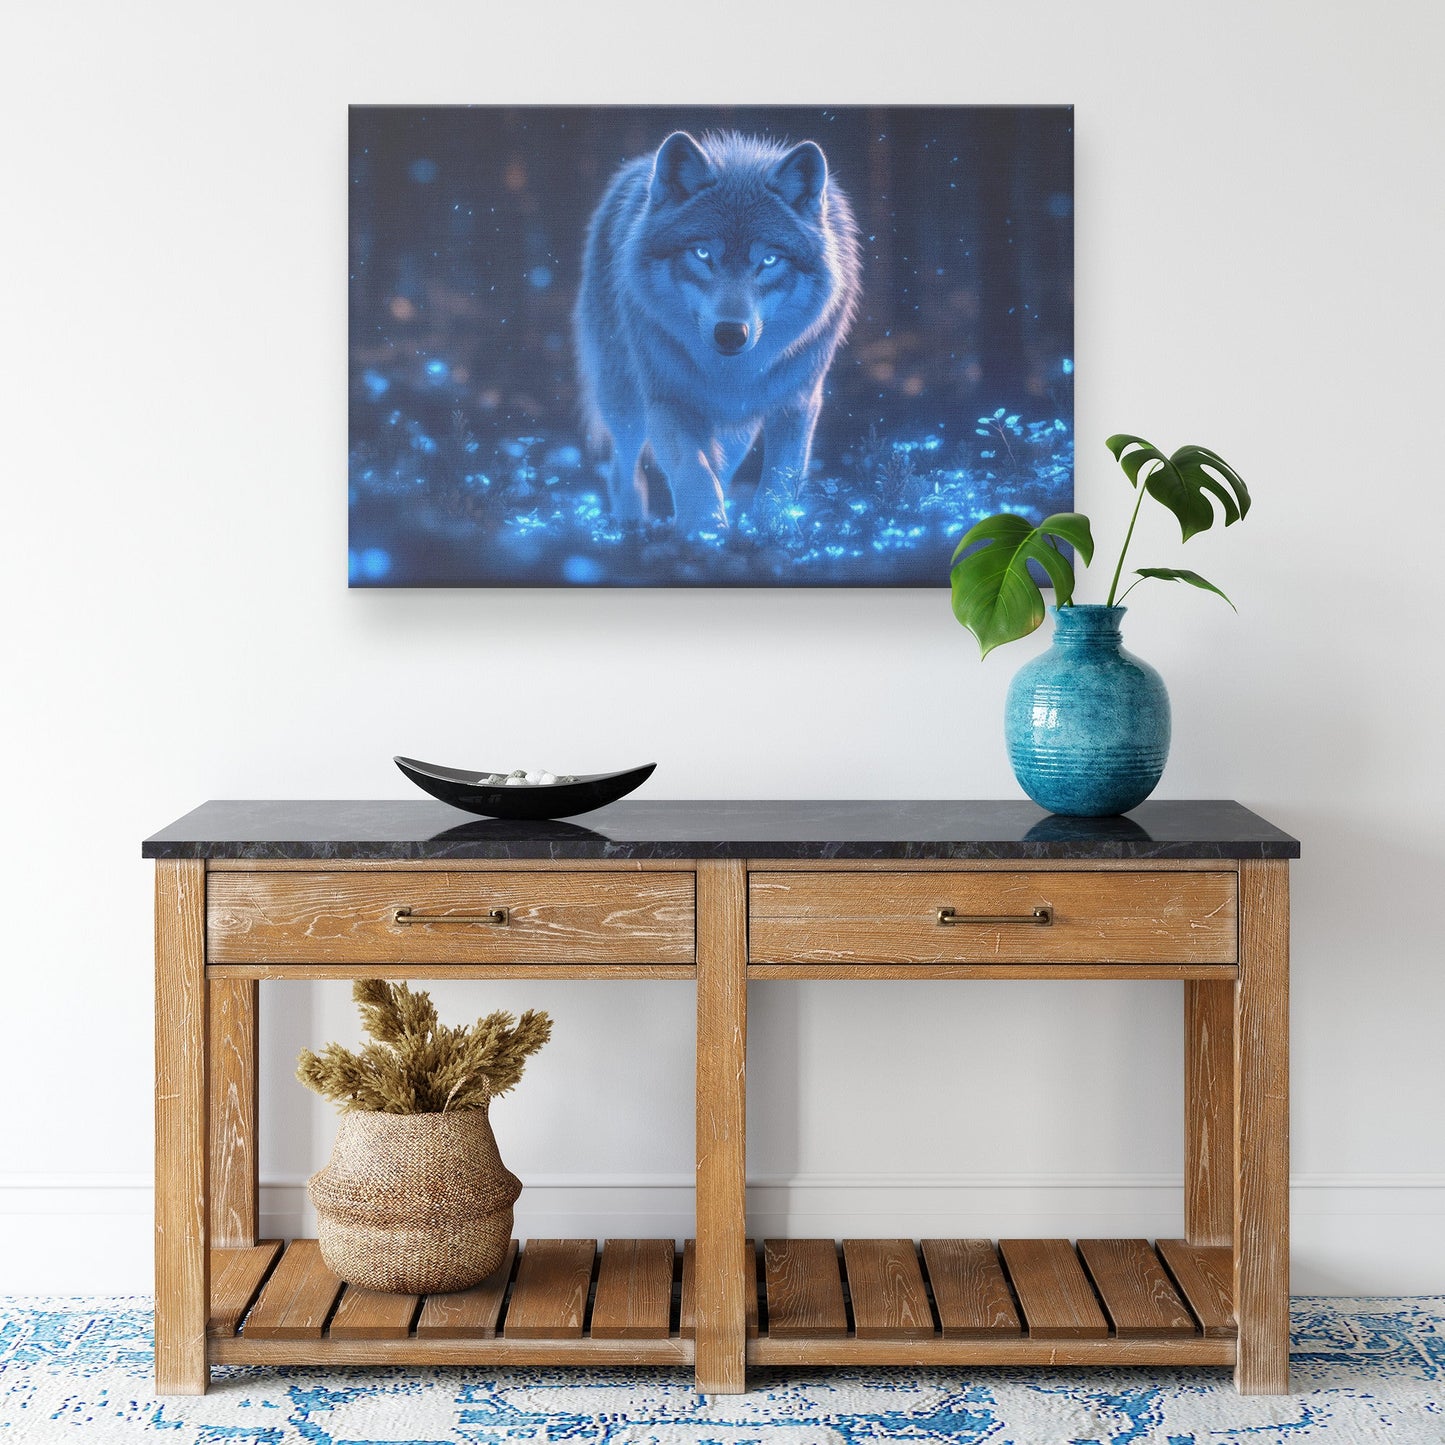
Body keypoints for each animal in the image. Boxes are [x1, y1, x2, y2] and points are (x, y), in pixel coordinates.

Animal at [574, 130, 862, 533]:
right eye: (702, 254)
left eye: (769, 260)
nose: (730, 333)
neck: (729, 374)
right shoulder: (669, 400)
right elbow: (694, 470)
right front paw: (705, 527)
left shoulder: (797, 402)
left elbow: (780, 478)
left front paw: (774, 528)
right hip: (623, 401)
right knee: (623, 469)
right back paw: (630, 524)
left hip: (737, 428)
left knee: (722, 468)